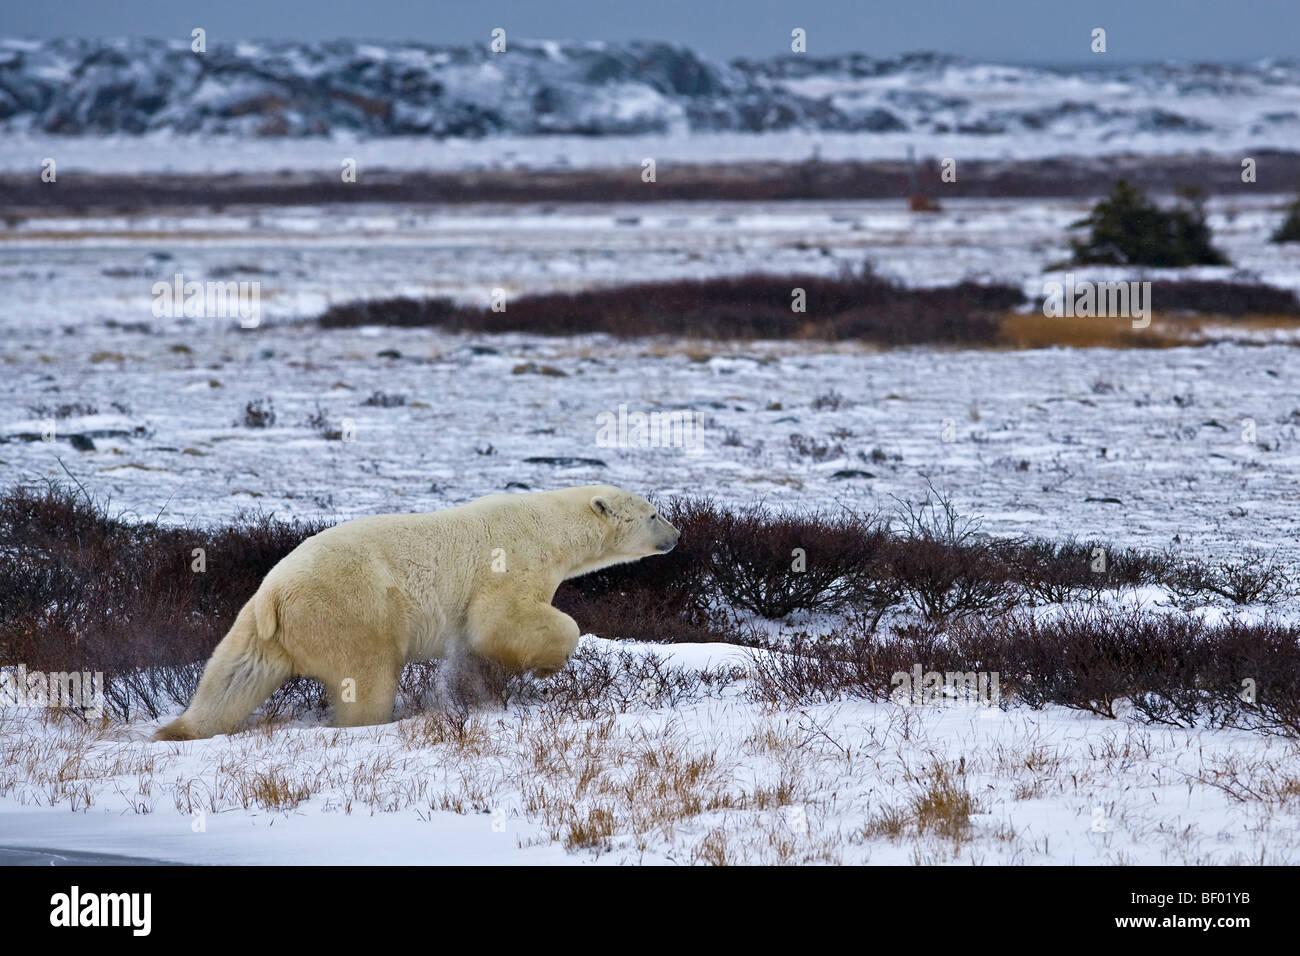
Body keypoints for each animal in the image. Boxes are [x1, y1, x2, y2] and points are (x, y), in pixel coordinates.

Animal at [153, 485, 679, 741]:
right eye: (654, 513)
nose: (676, 536)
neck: (549, 522)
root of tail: (274, 594)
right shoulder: (512, 559)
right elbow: (498, 621)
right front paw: (545, 664)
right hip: (352, 608)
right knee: (367, 676)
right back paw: (368, 722)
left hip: (262, 626)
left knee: (232, 676)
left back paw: (178, 730)